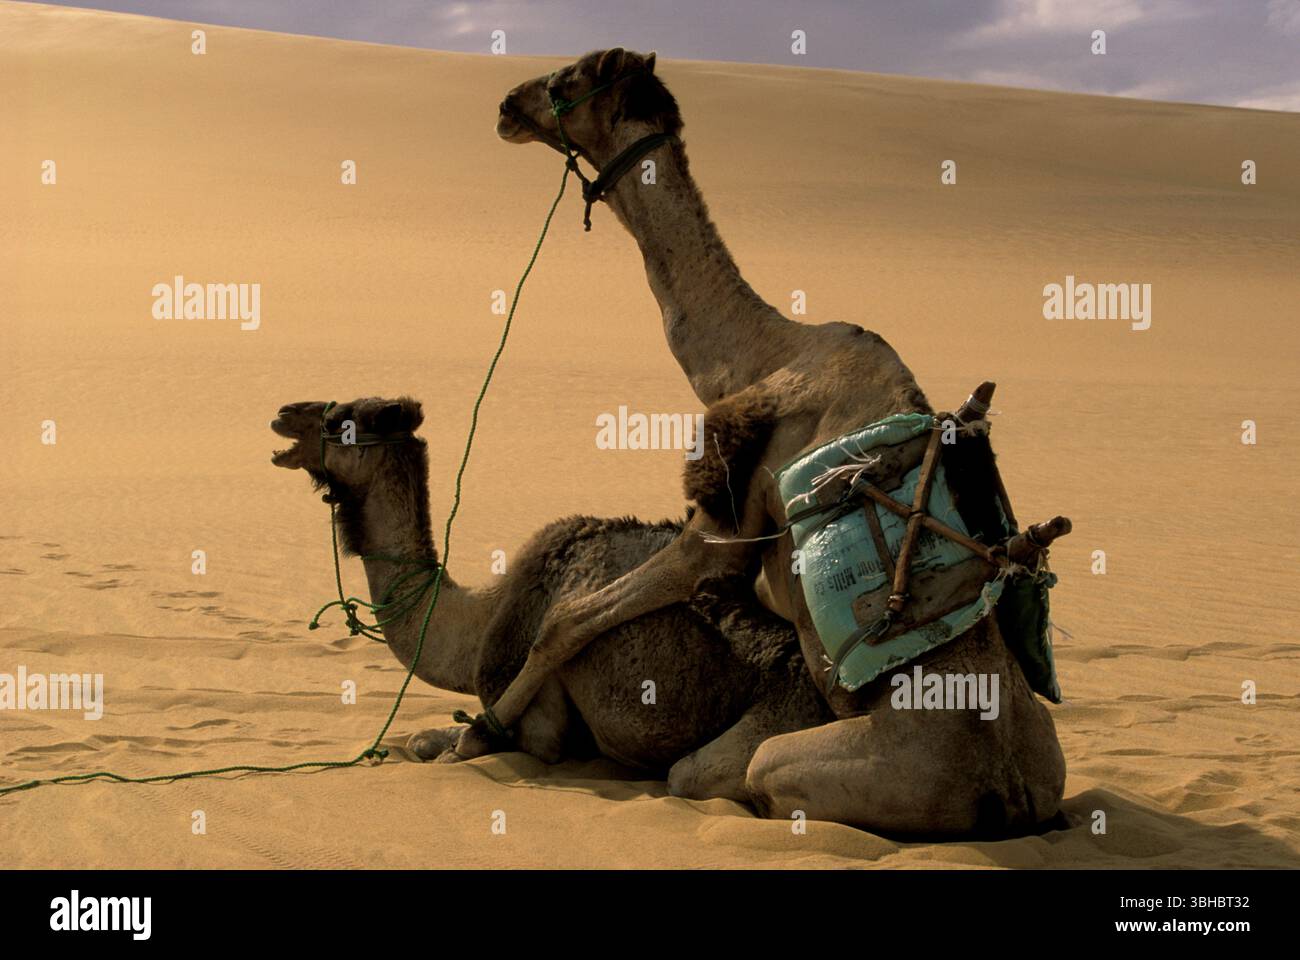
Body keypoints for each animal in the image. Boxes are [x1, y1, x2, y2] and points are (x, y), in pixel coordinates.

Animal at [270, 395, 831, 805]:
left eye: (340, 420)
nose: (282, 414)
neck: (481, 617)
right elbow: (419, 739)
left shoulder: (542, 721)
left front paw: (469, 742)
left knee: (694, 775)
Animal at [490, 49, 1069, 835]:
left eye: (566, 81)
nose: (506, 106)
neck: (767, 353)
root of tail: (1010, 792)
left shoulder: (726, 514)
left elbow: (566, 617)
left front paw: (479, 730)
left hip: (863, 769)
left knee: (727, 773)